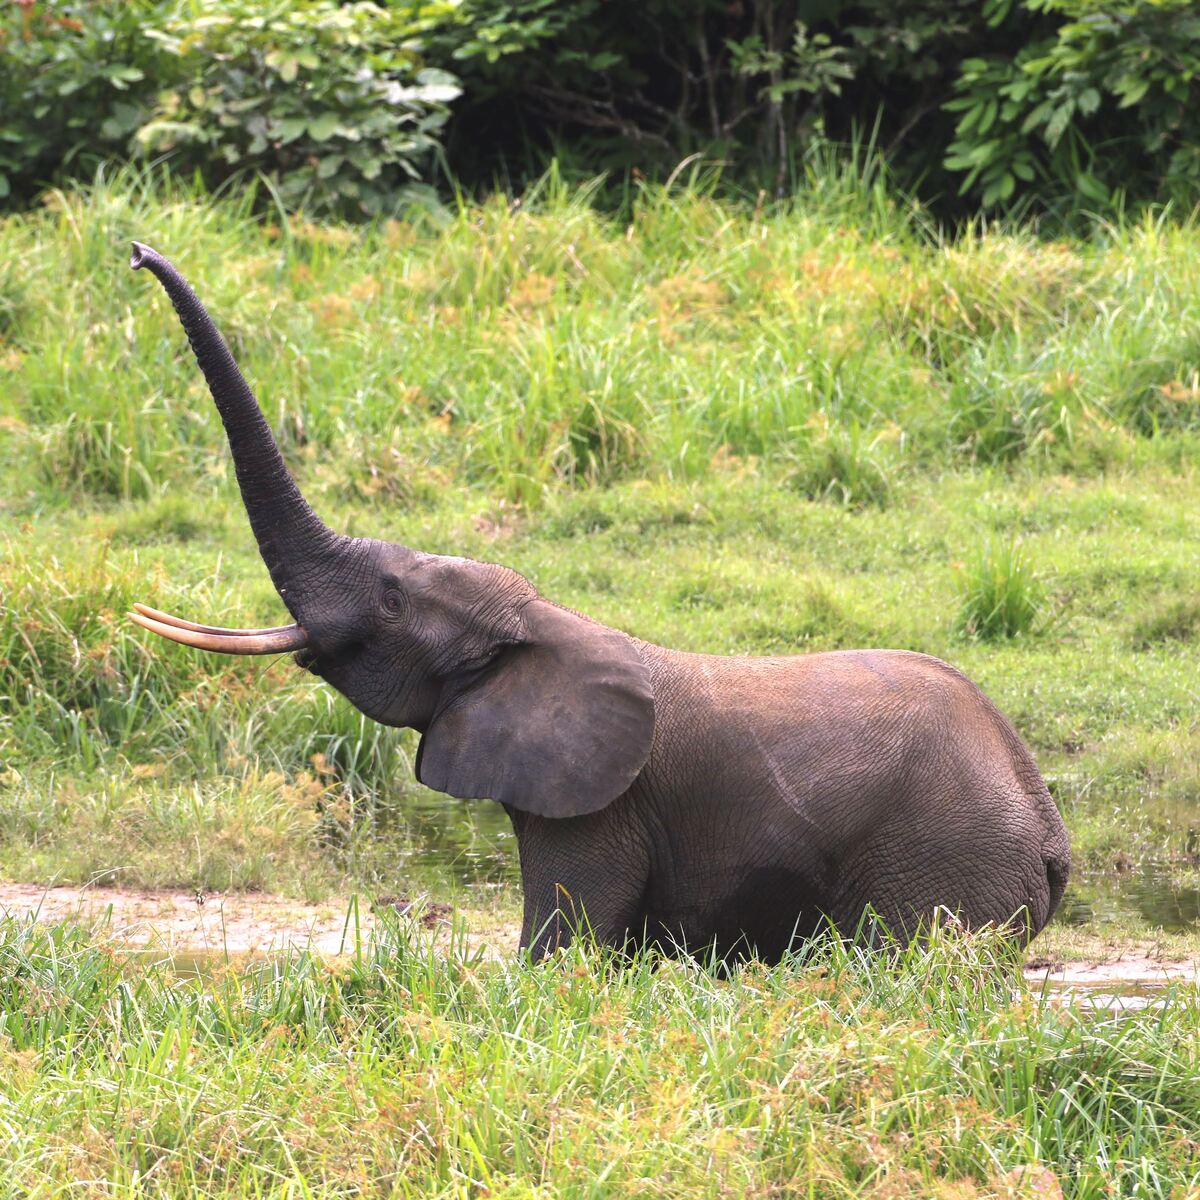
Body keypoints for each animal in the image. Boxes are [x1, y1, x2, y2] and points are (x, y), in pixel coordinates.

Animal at [127, 242, 1071, 963]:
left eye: (392, 600)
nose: (135, 253)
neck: (542, 623)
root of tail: (1049, 829)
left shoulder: (602, 806)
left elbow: (563, 940)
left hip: (944, 864)